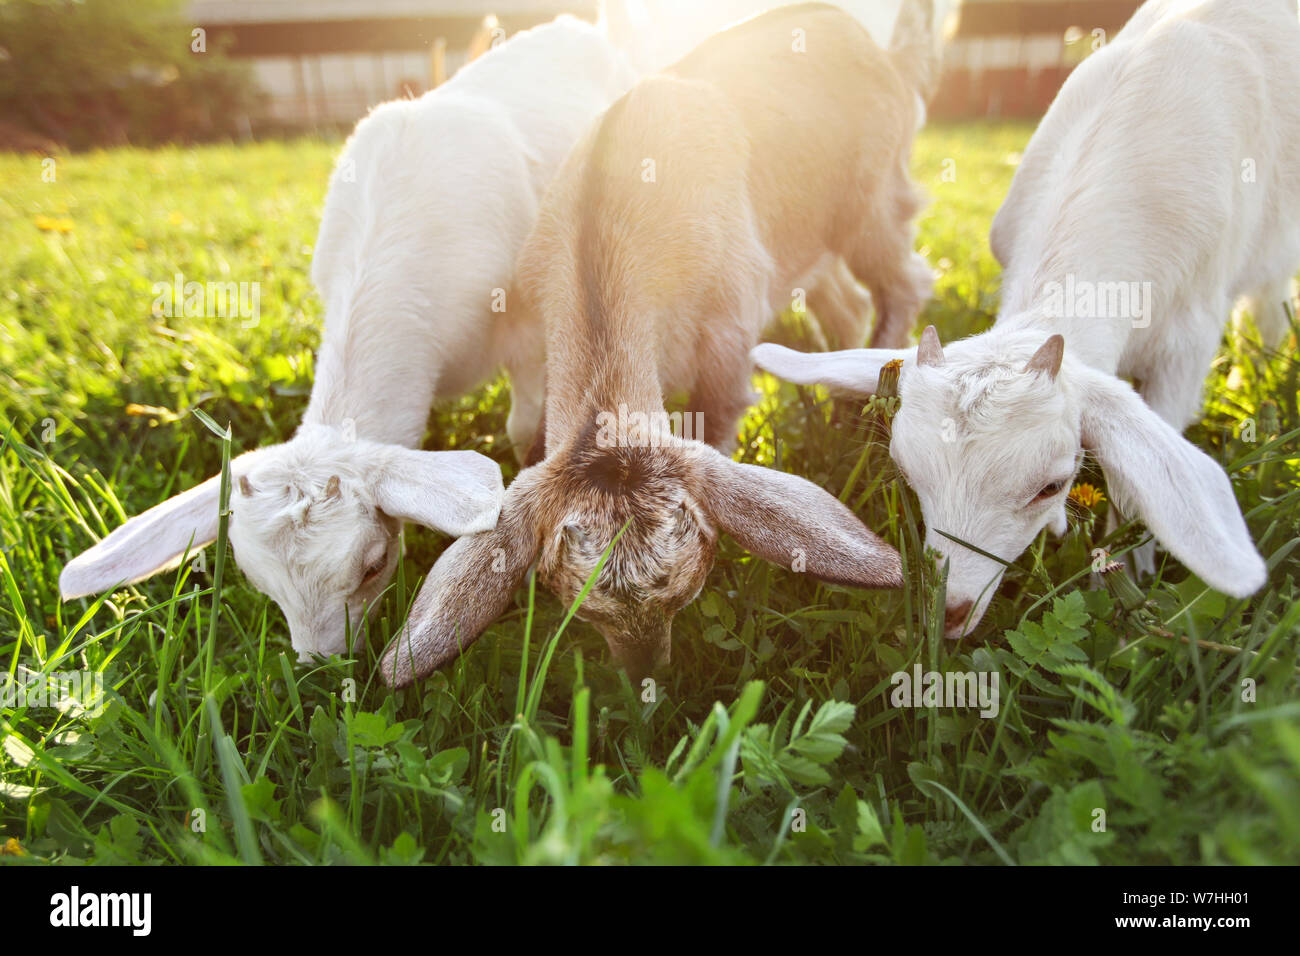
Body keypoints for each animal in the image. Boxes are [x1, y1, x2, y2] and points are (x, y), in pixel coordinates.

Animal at [381, 1, 941, 687]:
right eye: (579, 613)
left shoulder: (730, 322)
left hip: (869, 200)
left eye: (690, 591)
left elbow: (718, 417)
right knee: (848, 301)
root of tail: (883, 52)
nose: (647, 678)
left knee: (904, 281)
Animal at [754, 0, 1299, 637]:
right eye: (908, 475)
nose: (948, 615)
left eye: (1051, 485)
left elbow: (1136, 489)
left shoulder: (1188, 340)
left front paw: (1128, 582)